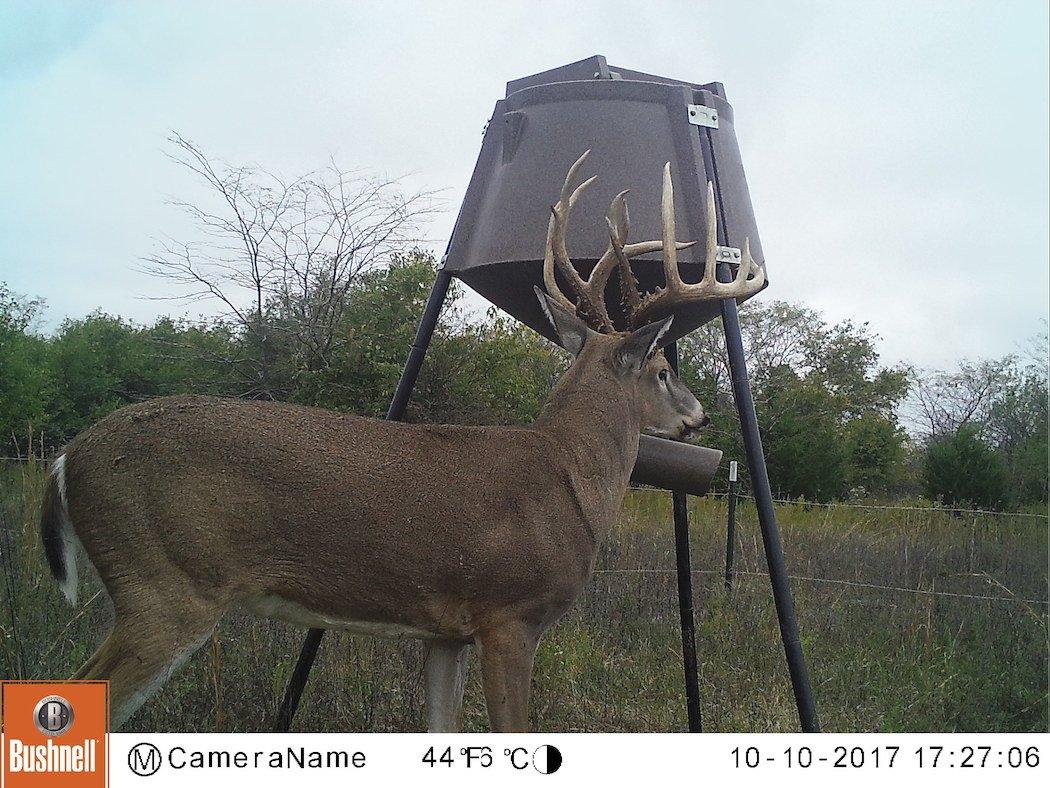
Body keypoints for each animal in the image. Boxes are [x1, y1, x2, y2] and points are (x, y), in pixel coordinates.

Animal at [39, 151, 764, 733]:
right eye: (664, 370)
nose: (699, 418)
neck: (570, 477)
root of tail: (66, 460)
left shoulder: (446, 631)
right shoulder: (509, 615)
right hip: (162, 584)